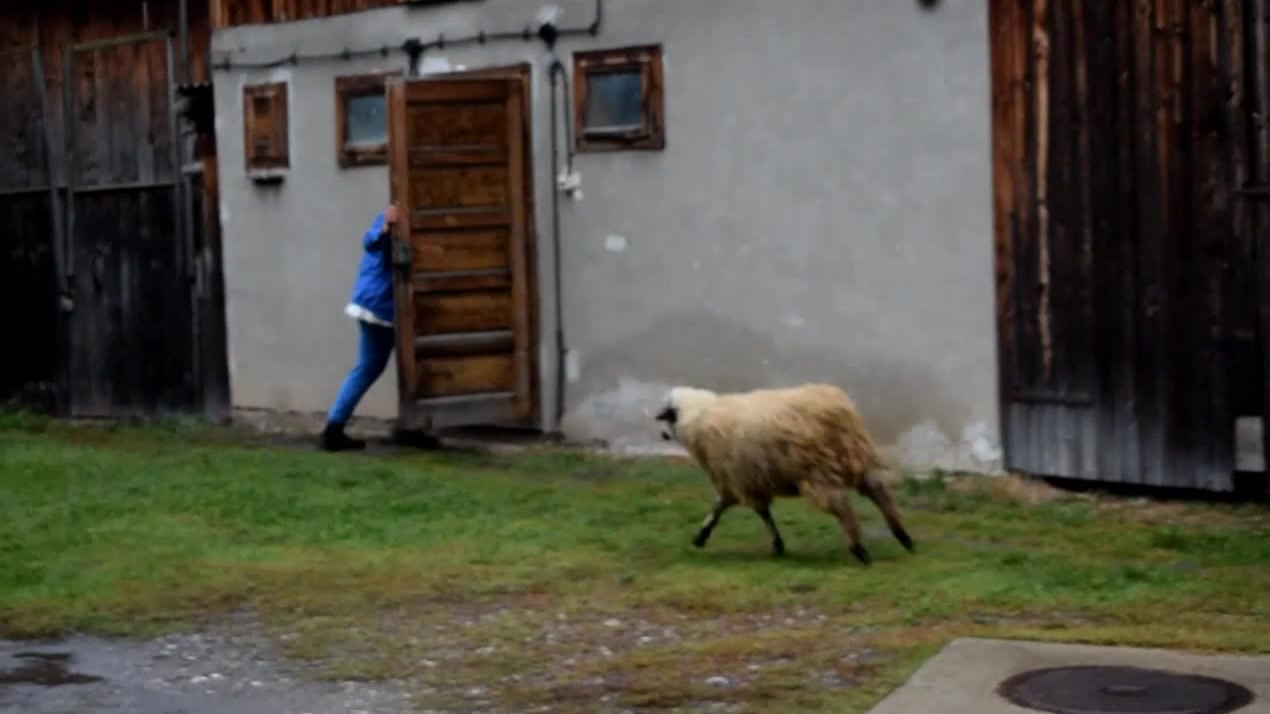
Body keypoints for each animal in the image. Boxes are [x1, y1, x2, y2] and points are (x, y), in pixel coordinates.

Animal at [653, 383, 914, 565]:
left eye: (666, 416)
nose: (662, 435)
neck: (696, 415)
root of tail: (838, 411)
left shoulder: (735, 478)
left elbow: (737, 508)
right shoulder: (749, 479)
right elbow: (732, 508)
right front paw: (702, 536)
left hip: (818, 471)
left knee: (843, 507)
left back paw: (860, 549)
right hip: (856, 456)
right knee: (879, 491)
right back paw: (903, 536)